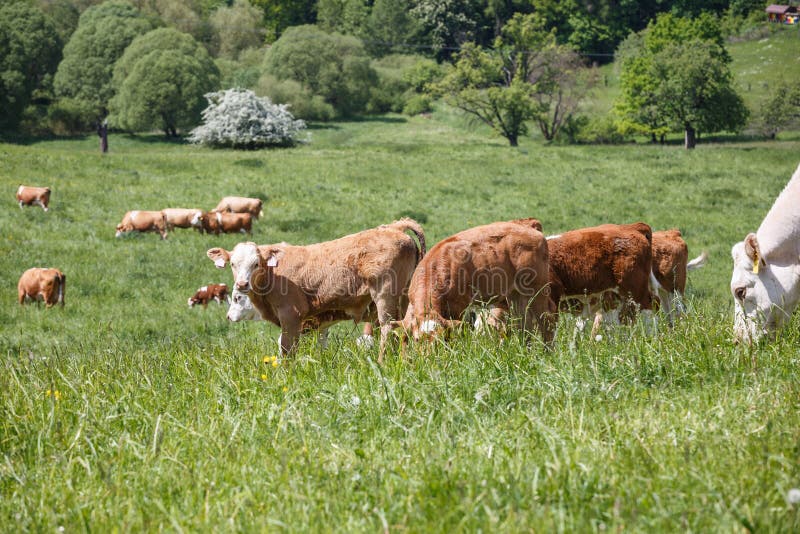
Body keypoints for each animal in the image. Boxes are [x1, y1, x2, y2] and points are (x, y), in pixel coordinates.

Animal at [208, 218, 425, 361]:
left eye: (256, 264)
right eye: (233, 263)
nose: (242, 284)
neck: (273, 273)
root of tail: (395, 227)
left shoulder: (291, 316)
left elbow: (287, 349)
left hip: (385, 297)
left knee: (388, 327)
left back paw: (381, 362)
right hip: (404, 299)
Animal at [393, 220, 554, 345]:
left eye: (440, 341)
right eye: (417, 340)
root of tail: (532, 231)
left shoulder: (458, 308)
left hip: (538, 290)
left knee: (546, 322)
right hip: (516, 295)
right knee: (524, 325)